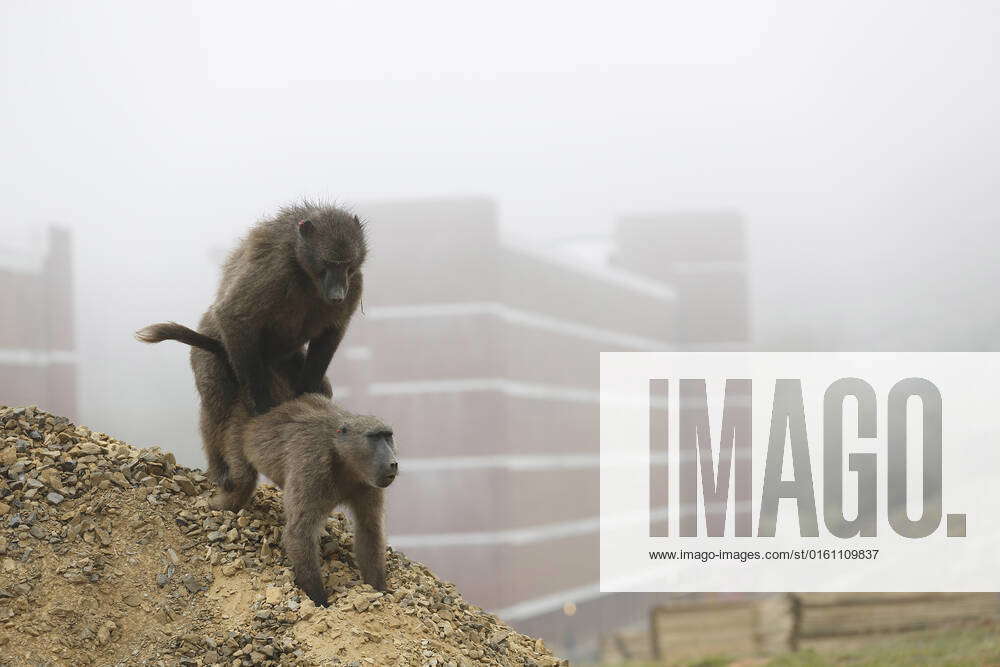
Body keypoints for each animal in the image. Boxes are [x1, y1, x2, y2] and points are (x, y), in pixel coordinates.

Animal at [135, 321, 397, 606]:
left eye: (388, 437)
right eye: (375, 438)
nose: (393, 464)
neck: (342, 457)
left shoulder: (367, 483)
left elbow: (369, 531)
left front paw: (379, 590)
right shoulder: (311, 466)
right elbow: (299, 533)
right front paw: (320, 601)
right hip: (238, 428)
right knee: (242, 482)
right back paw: (215, 506)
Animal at [138, 202, 367, 492]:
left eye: (347, 265)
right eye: (327, 264)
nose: (338, 295)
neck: (303, 269)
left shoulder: (355, 283)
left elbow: (331, 332)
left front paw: (307, 393)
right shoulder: (272, 268)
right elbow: (234, 315)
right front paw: (261, 407)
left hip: (284, 362)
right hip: (217, 354)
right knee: (217, 399)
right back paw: (220, 470)